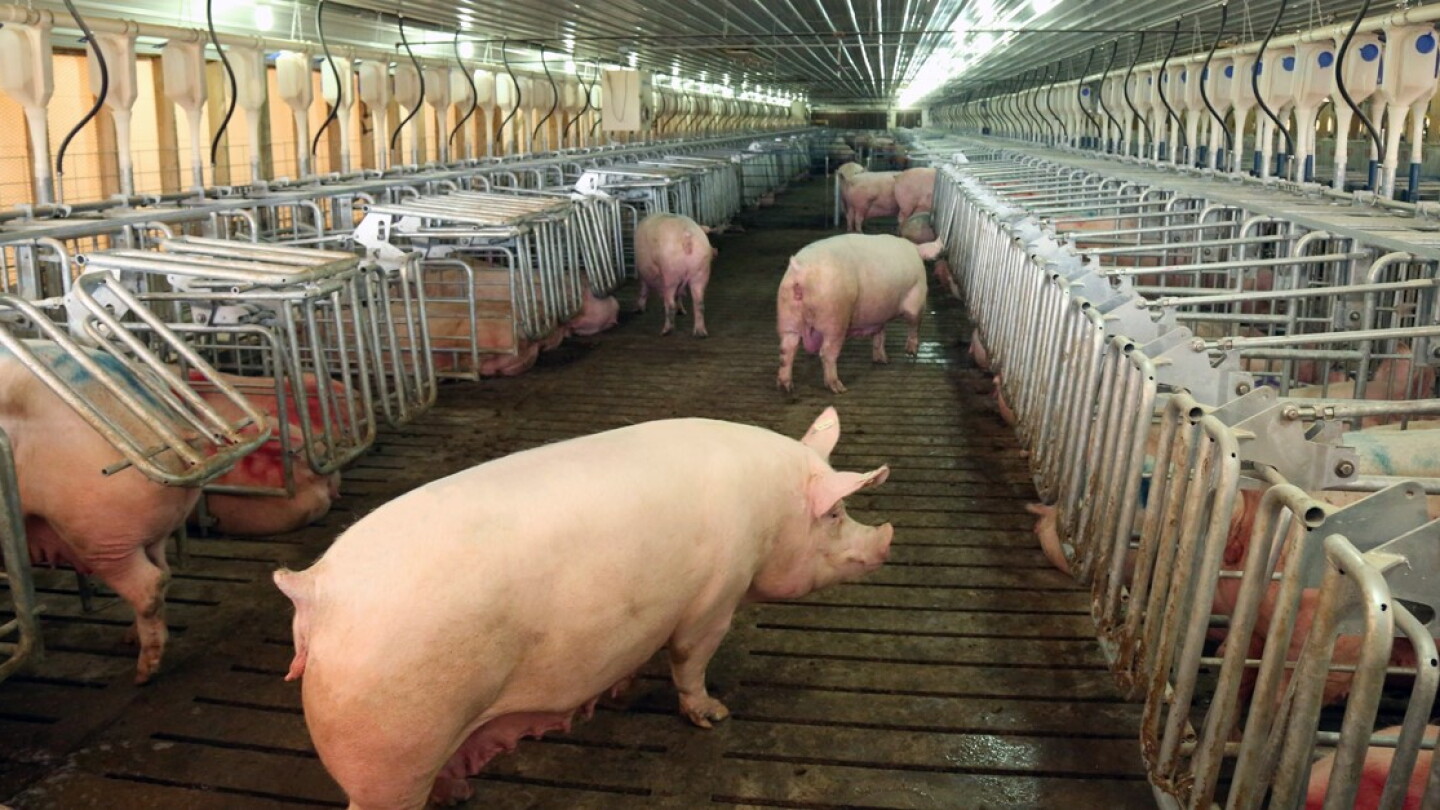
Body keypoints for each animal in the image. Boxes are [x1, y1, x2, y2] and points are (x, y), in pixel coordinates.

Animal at [273, 407, 893, 810]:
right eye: (836, 514)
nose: (887, 539)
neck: (771, 515)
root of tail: (318, 591)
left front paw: (619, 691)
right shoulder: (713, 601)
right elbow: (690, 663)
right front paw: (715, 715)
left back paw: (461, 792)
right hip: (387, 758)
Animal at [776, 233, 941, 394]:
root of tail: (800, 271)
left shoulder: (878, 316)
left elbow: (880, 335)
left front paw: (882, 360)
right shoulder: (916, 300)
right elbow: (911, 327)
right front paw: (909, 353)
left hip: (788, 317)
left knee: (787, 351)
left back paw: (786, 386)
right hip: (835, 320)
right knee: (827, 353)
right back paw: (838, 388)